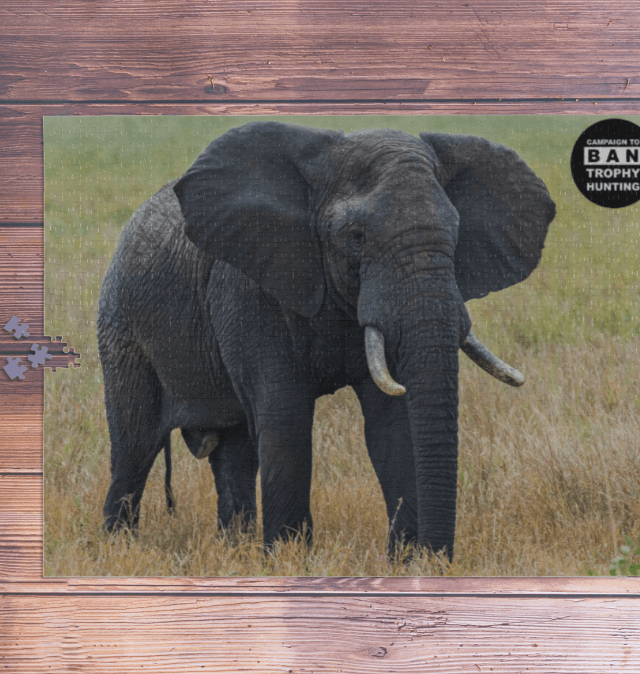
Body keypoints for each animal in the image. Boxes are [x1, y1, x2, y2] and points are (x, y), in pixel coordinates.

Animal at [98, 121, 555, 559]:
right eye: (356, 237)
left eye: (457, 233)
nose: (438, 557)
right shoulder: (247, 290)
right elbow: (286, 419)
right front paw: (288, 561)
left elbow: (392, 426)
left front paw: (407, 562)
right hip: (121, 325)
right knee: (135, 446)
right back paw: (119, 549)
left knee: (235, 454)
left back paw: (235, 550)